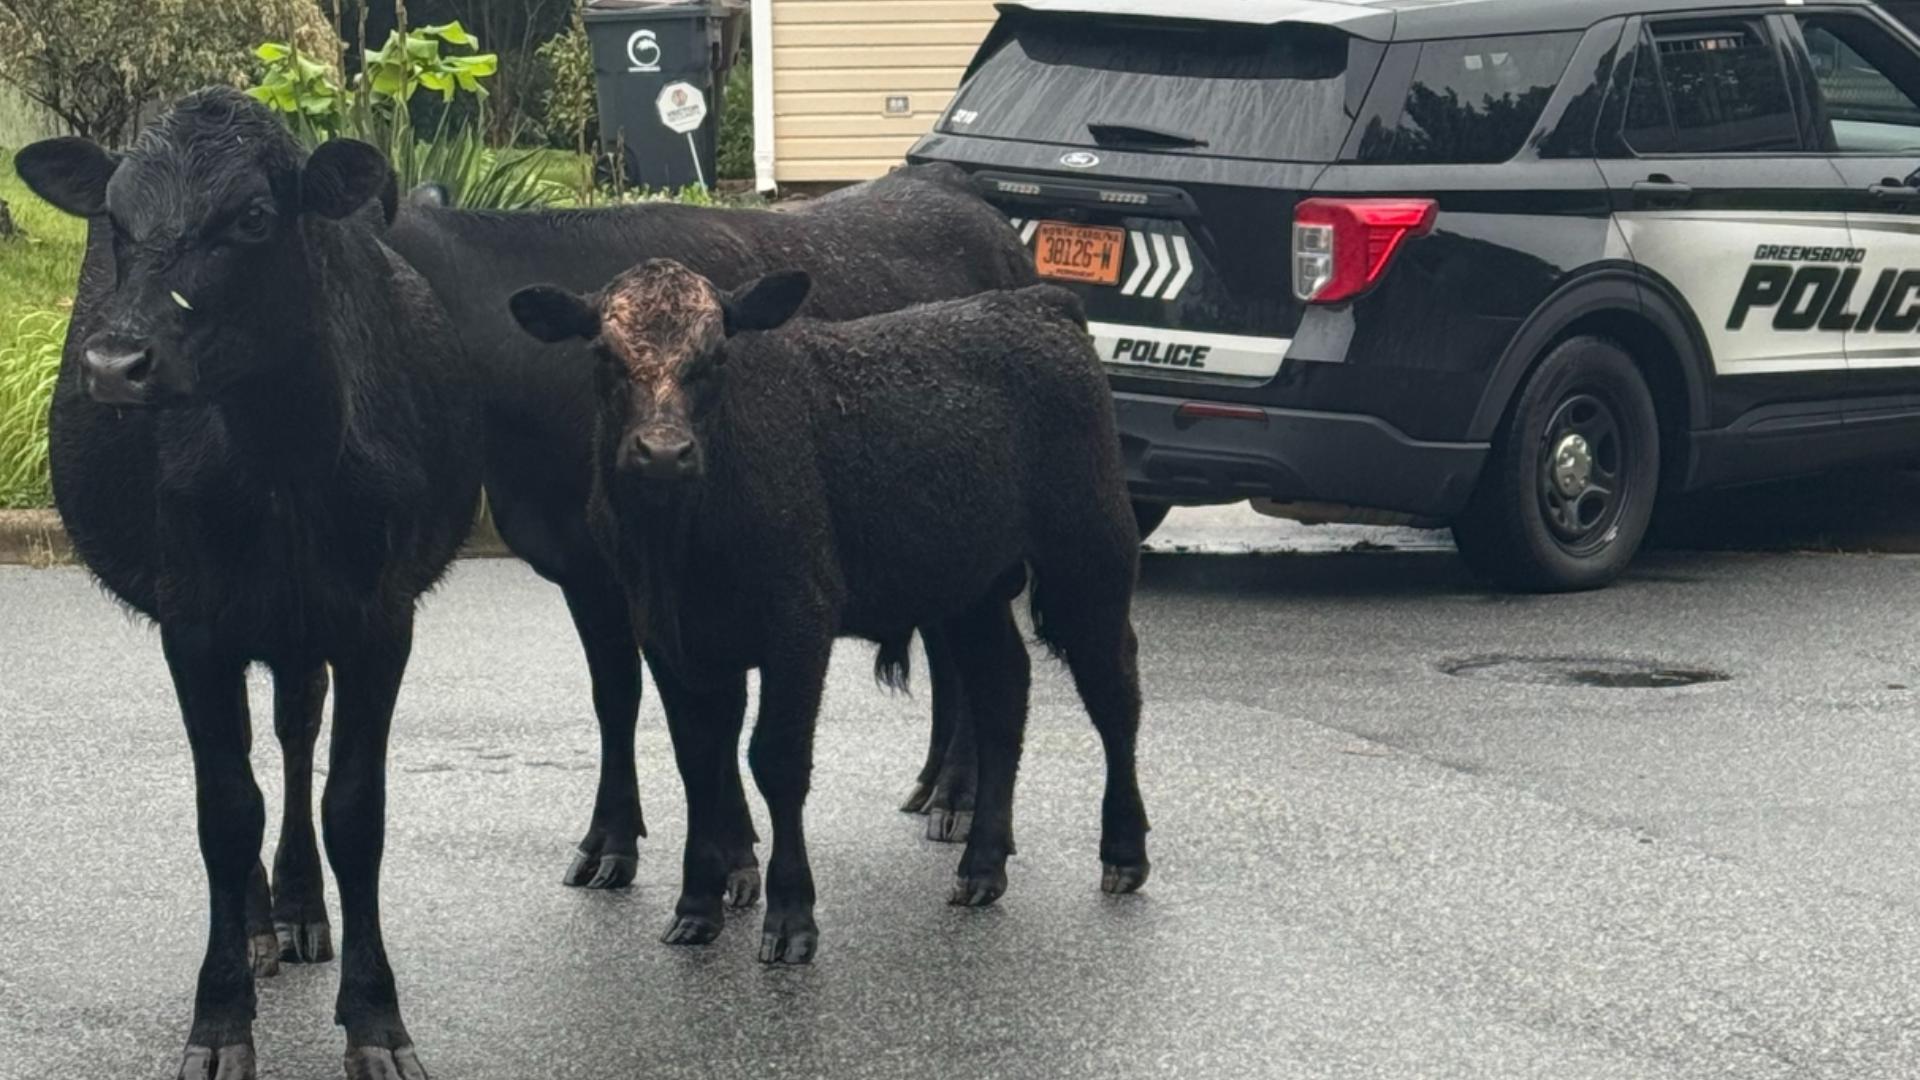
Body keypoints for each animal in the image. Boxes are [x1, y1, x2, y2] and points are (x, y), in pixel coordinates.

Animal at [16, 88, 481, 1080]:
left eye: (255, 219)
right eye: (117, 219)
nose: (115, 365)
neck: (283, 460)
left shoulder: (380, 619)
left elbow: (355, 808)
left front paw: (376, 1021)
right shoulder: (193, 625)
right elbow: (224, 813)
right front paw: (219, 1017)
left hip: (304, 629)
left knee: (296, 732)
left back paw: (301, 908)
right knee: (250, 754)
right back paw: (262, 924)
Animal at [382, 164, 1035, 889]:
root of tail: (948, 183)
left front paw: (729, 855)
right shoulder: (587, 571)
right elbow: (620, 699)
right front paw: (622, 839)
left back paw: (956, 795)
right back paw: (935, 785)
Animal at [507, 260, 1151, 964]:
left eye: (717, 356)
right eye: (604, 354)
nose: (663, 451)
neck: (683, 542)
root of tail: (1038, 302)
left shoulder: (799, 622)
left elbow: (776, 759)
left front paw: (791, 914)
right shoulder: (668, 636)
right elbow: (698, 763)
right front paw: (697, 905)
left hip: (1090, 556)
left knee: (1114, 689)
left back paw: (1123, 849)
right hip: (970, 587)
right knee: (1002, 690)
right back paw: (982, 863)